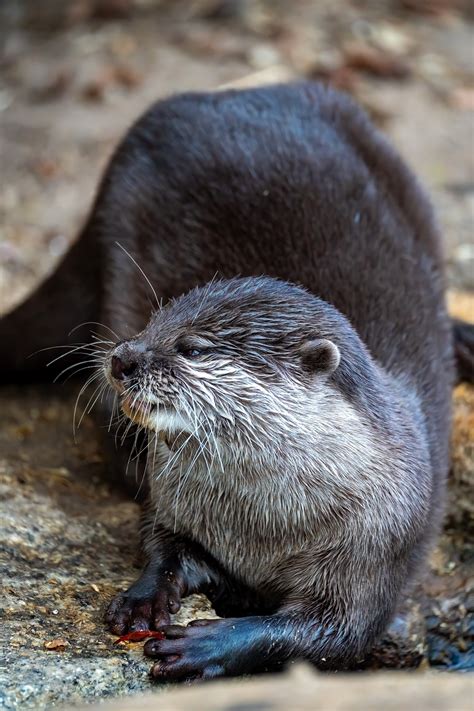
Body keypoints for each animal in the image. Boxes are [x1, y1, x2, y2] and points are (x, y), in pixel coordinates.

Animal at [1, 82, 473, 679]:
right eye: (153, 323)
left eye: (193, 348)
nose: (122, 359)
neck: (265, 525)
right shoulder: (171, 498)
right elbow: (162, 541)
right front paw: (147, 596)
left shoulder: (377, 549)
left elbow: (328, 634)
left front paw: (206, 644)